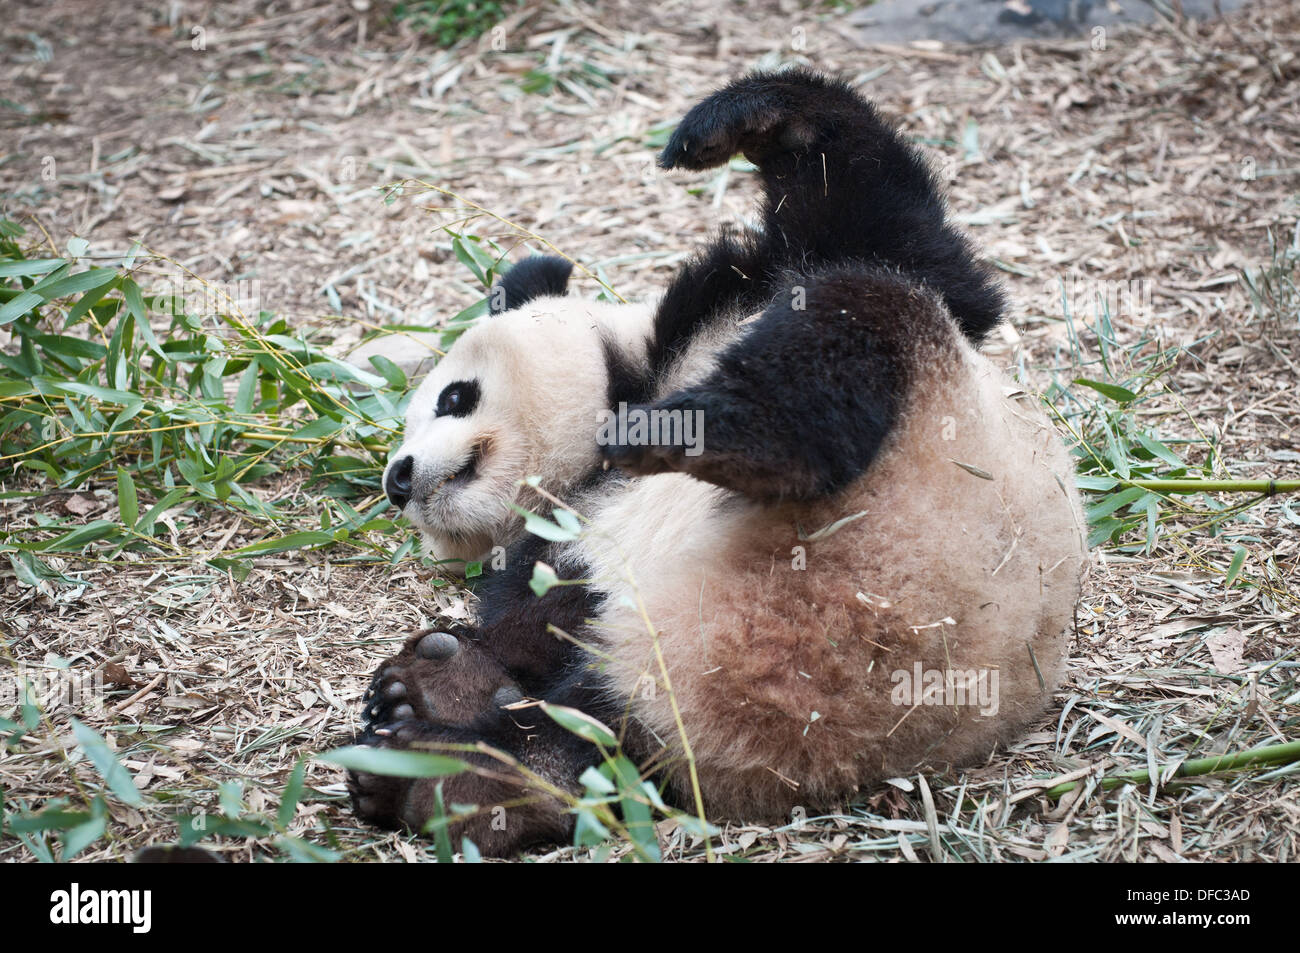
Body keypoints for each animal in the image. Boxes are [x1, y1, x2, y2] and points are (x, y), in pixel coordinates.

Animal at [347, 69, 1087, 856]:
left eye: (454, 396)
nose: (397, 480)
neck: (644, 380)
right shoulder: (571, 537)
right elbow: (543, 607)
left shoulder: (782, 289)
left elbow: (885, 225)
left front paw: (732, 124)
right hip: (670, 659)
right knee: (595, 743)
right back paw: (449, 752)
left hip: (926, 442)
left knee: (853, 327)